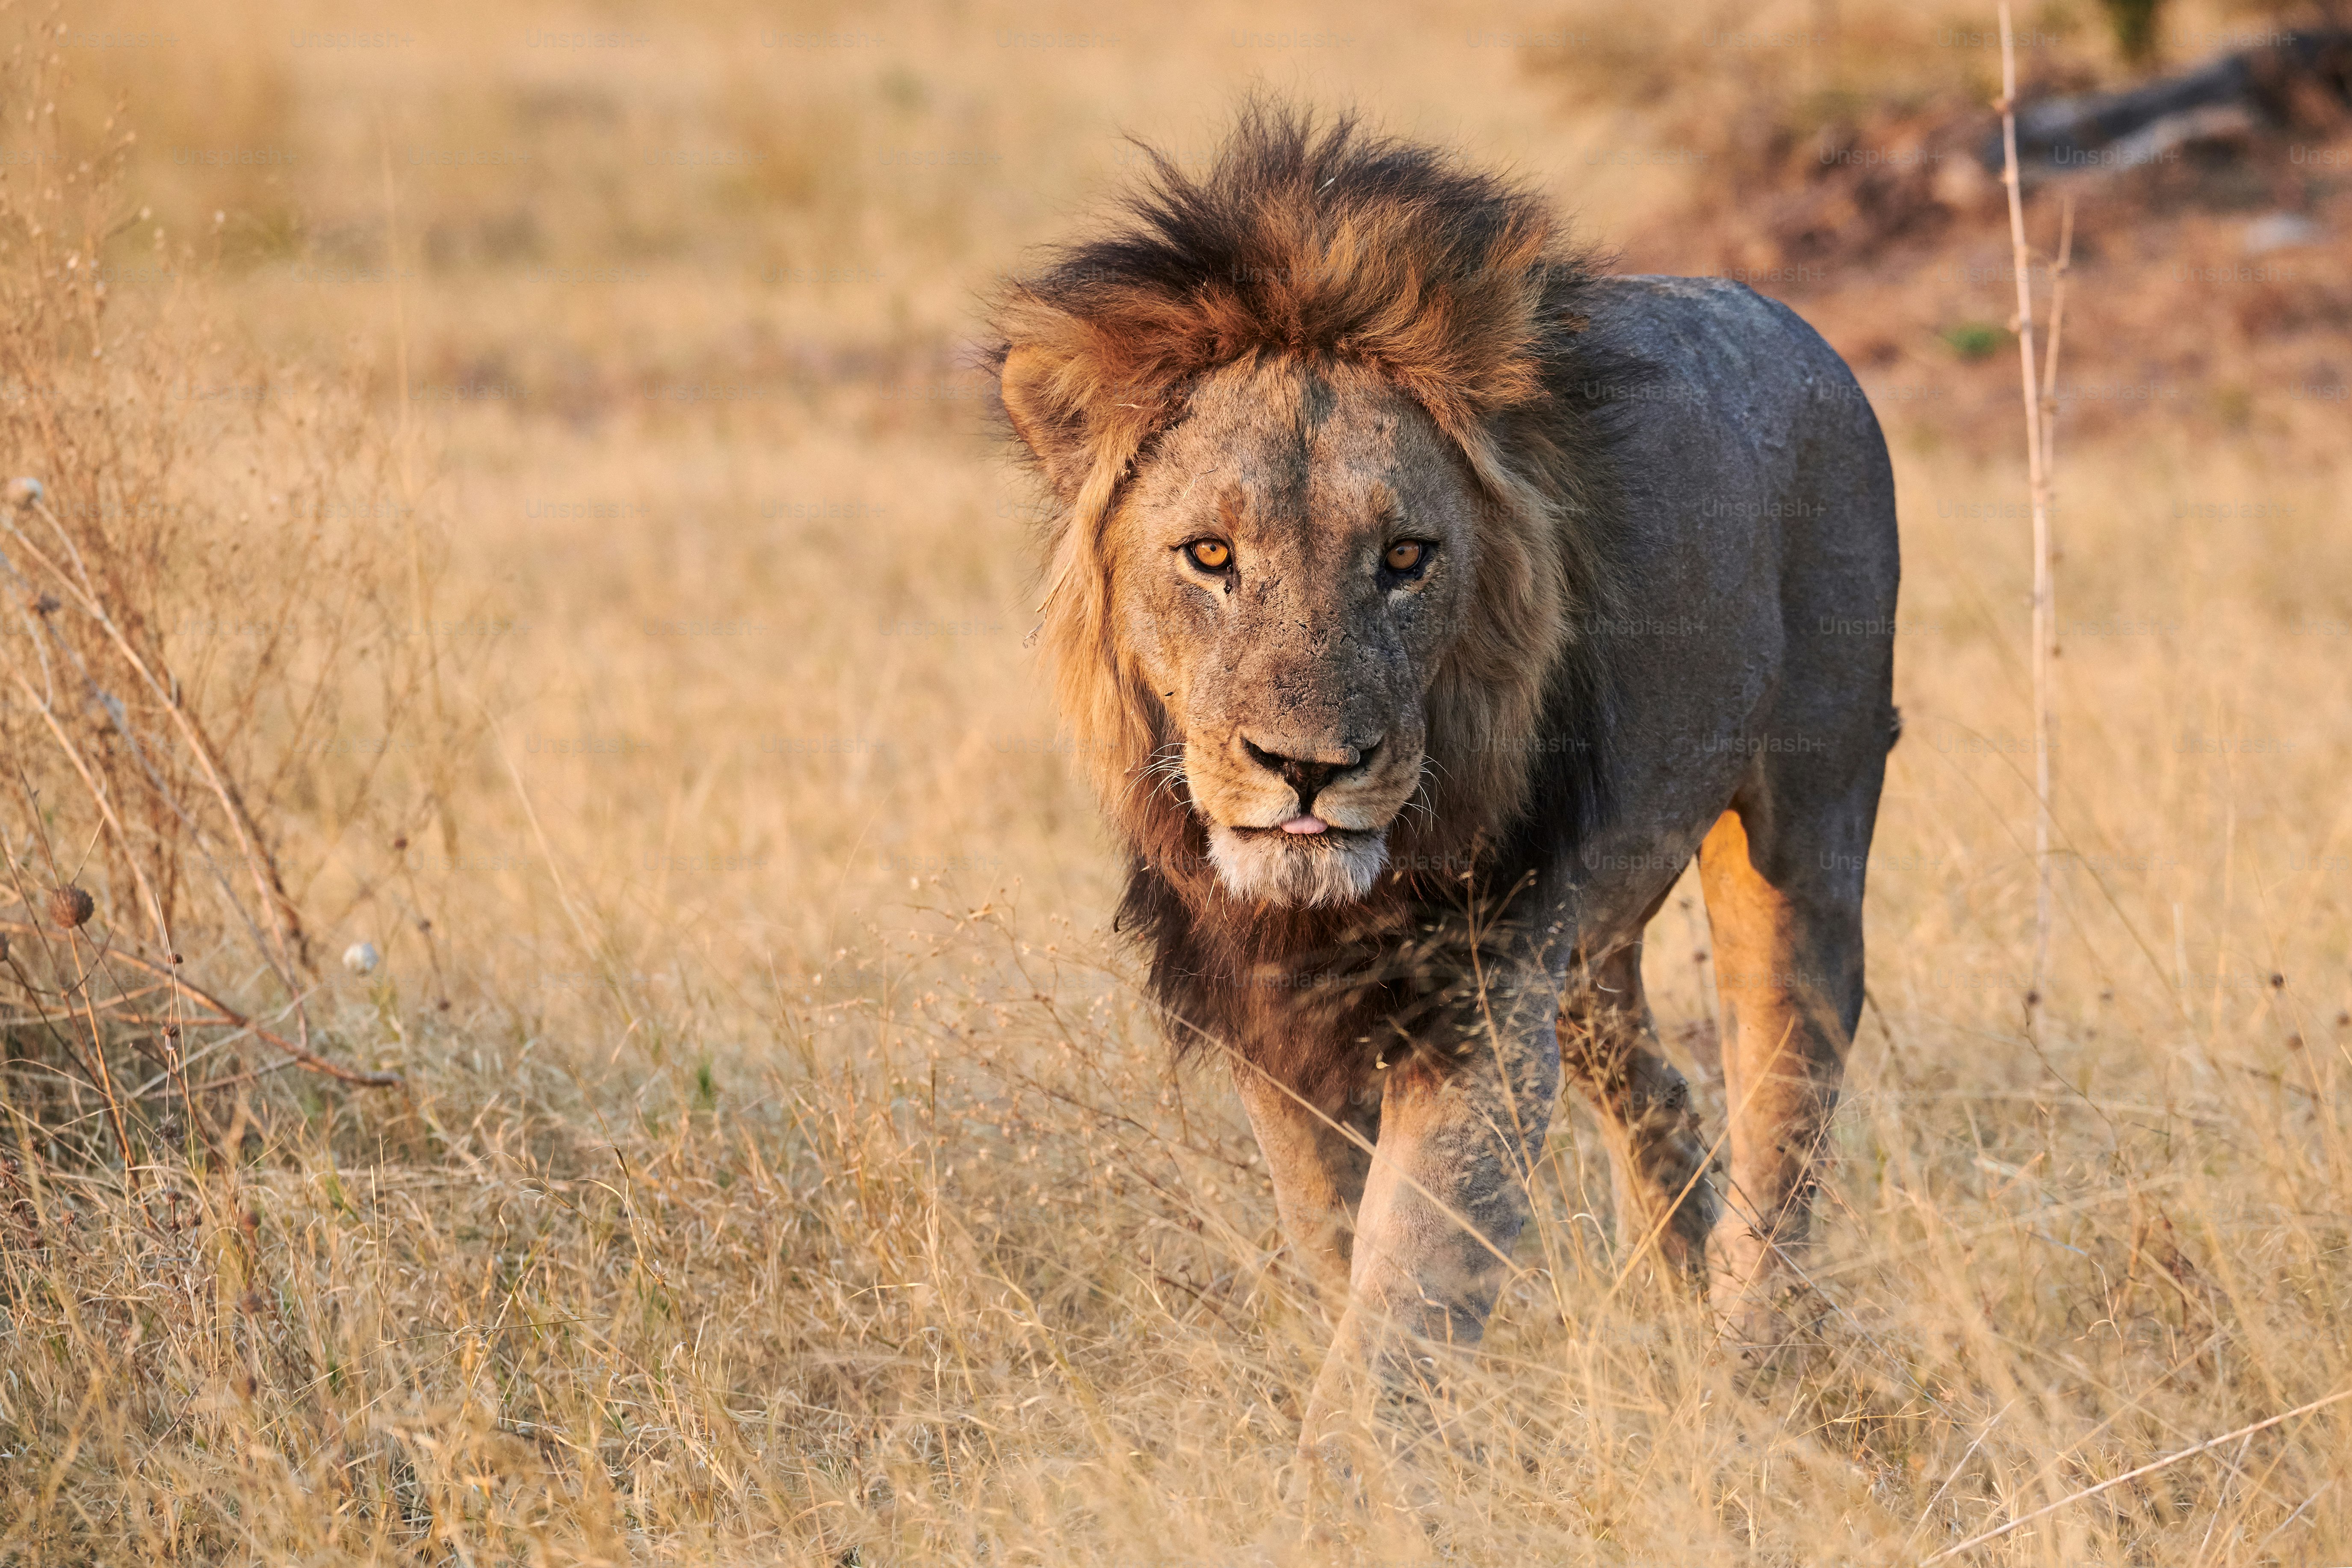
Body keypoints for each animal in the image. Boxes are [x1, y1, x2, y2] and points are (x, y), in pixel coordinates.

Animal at [990, 105, 1899, 1450]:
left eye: (1405, 557)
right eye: (1208, 555)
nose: (1307, 768)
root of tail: (1793, 322)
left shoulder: (1479, 1012)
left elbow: (1406, 1285)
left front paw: (1351, 1469)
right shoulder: (1275, 1017)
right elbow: (1331, 1238)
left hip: (1805, 813)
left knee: (1788, 1073)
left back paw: (1747, 1354)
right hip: (1586, 948)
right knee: (1655, 1088)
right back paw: (1670, 1313)